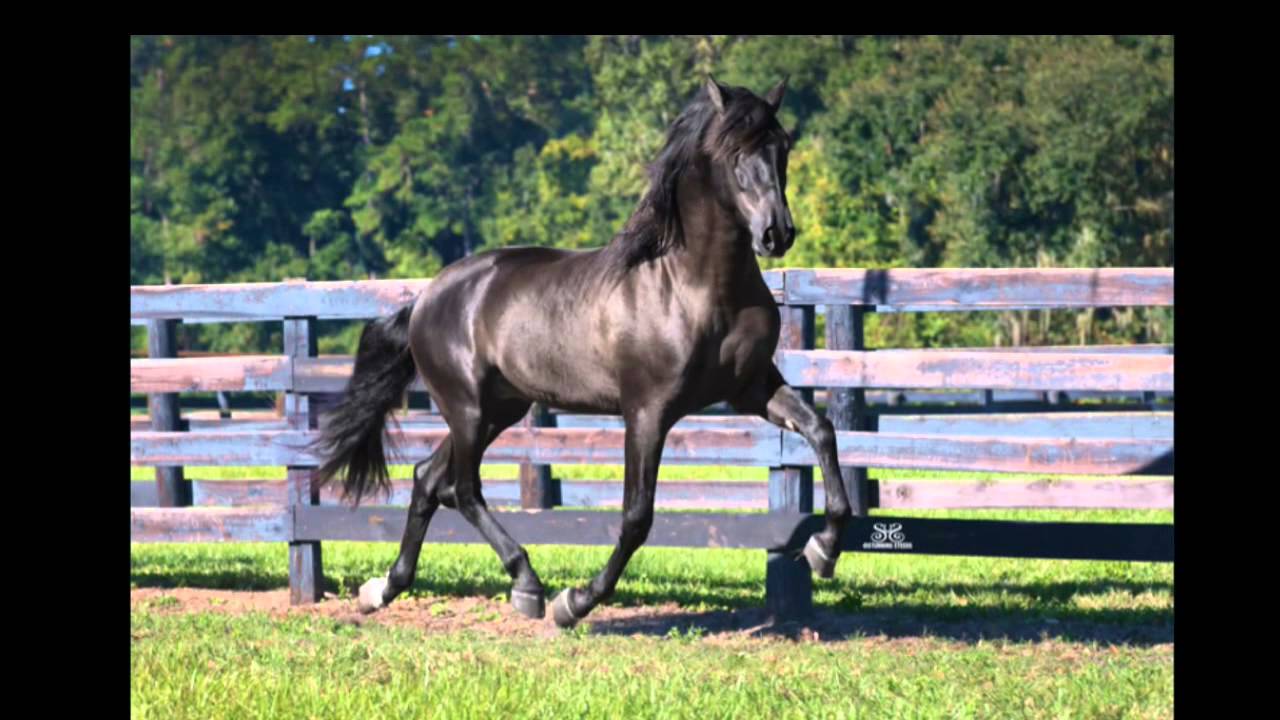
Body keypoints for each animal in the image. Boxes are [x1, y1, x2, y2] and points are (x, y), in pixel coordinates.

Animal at [312, 76, 853, 628]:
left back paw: (384, 589)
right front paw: (573, 603)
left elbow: (822, 431)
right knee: (461, 489)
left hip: (499, 409)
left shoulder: (751, 387)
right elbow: (637, 517)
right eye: (733, 151)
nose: (776, 233)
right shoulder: (648, 412)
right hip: (467, 408)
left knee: (427, 480)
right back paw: (528, 585)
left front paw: (823, 550)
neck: (697, 287)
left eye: (782, 146)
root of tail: (426, 297)